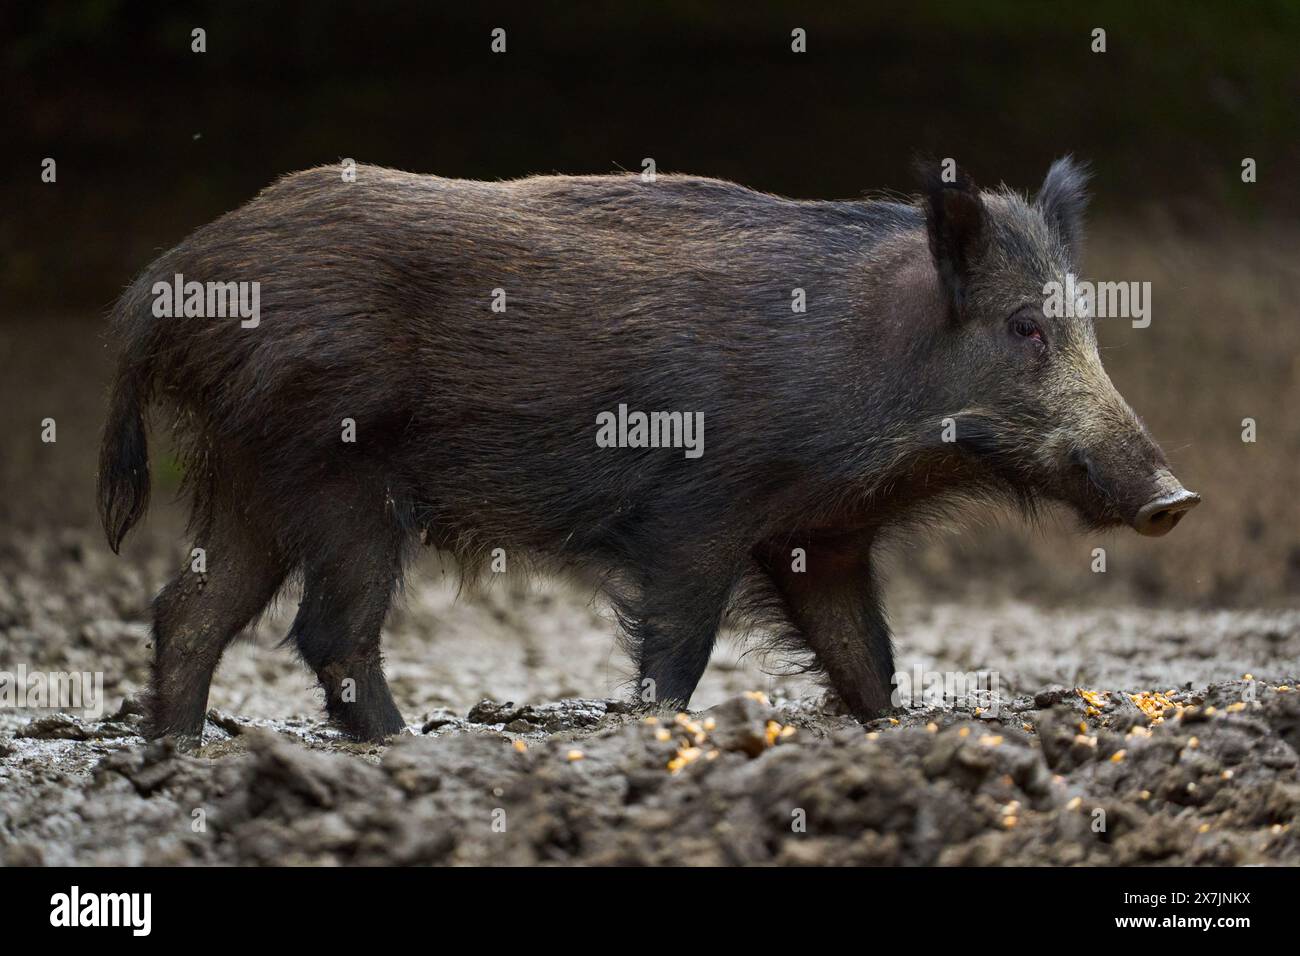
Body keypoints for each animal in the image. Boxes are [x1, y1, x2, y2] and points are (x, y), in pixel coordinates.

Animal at [98, 158, 1199, 745]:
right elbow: (679, 650)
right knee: (327, 631)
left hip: (250, 472)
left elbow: (864, 655)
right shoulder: (693, 515)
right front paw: (657, 732)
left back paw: (177, 747)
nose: (1174, 498)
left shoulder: (821, 535)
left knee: (189, 611)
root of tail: (163, 284)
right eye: (1025, 326)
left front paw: (885, 733)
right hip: (337, 474)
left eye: (1087, 322)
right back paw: (403, 745)